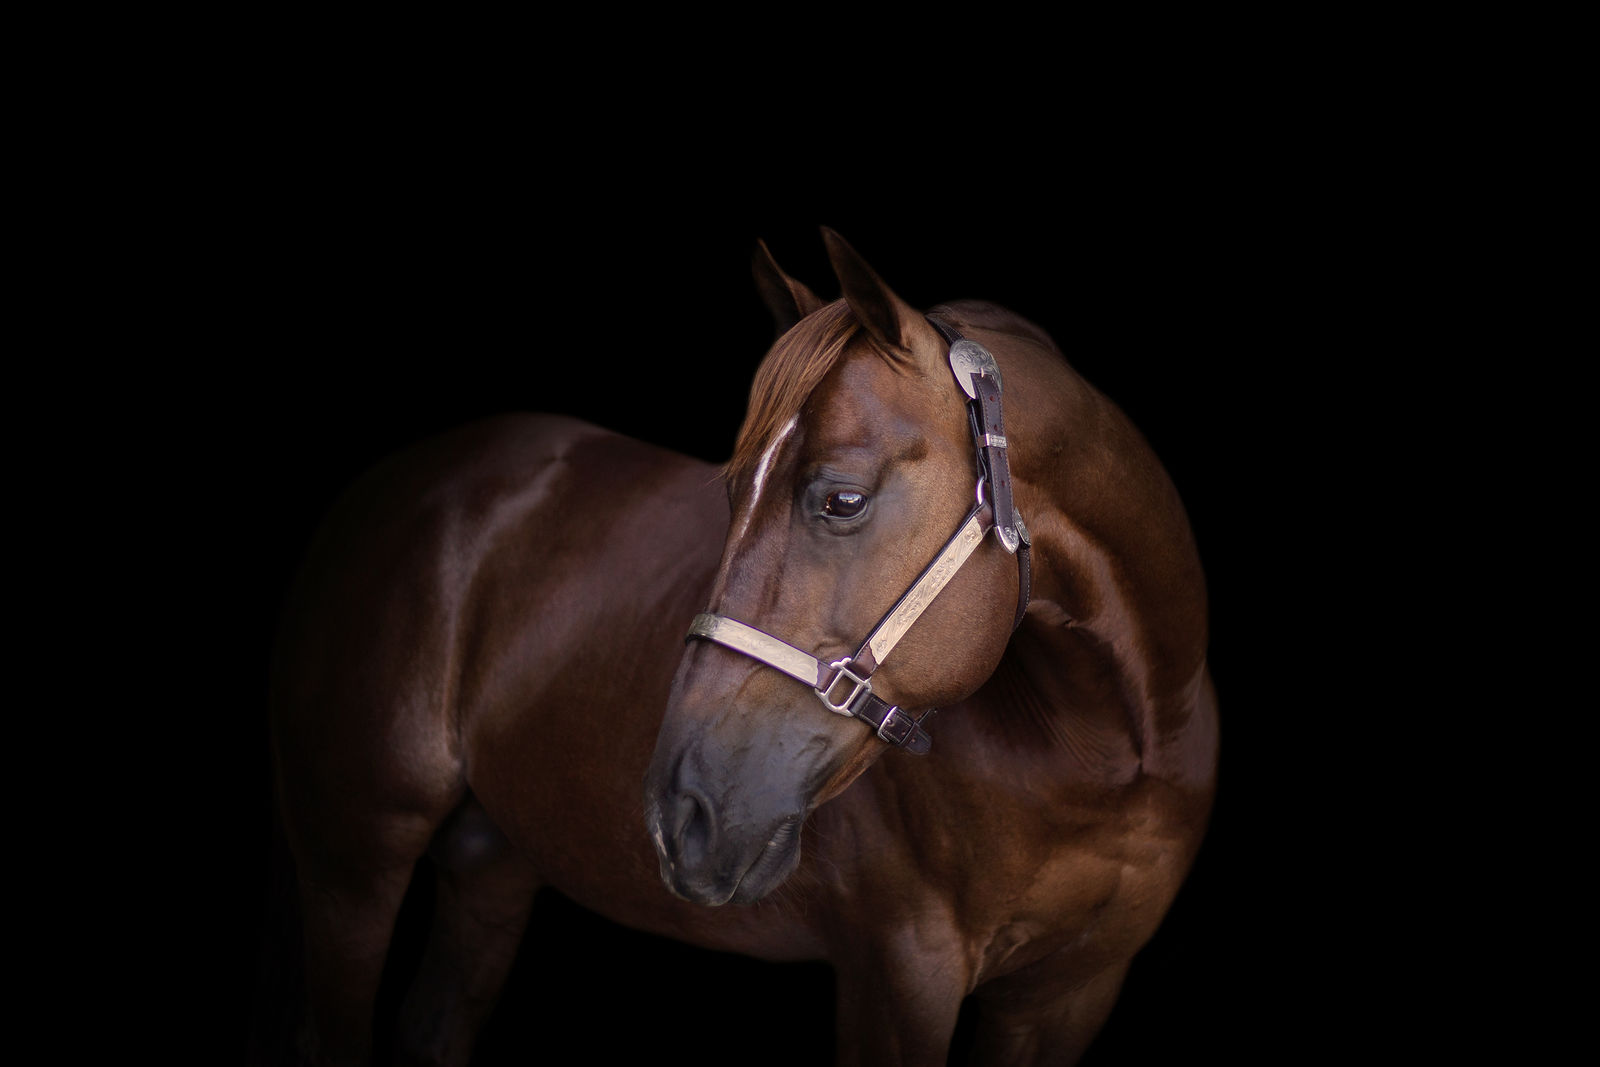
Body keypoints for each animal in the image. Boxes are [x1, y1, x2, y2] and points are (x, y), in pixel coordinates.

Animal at [262, 228, 1217, 1066]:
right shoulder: (900, 976)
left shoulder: (1069, 992)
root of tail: (393, 485)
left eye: (841, 499)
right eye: (728, 492)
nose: (678, 814)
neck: (1105, 750)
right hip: (354, 861)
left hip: (490, 864)